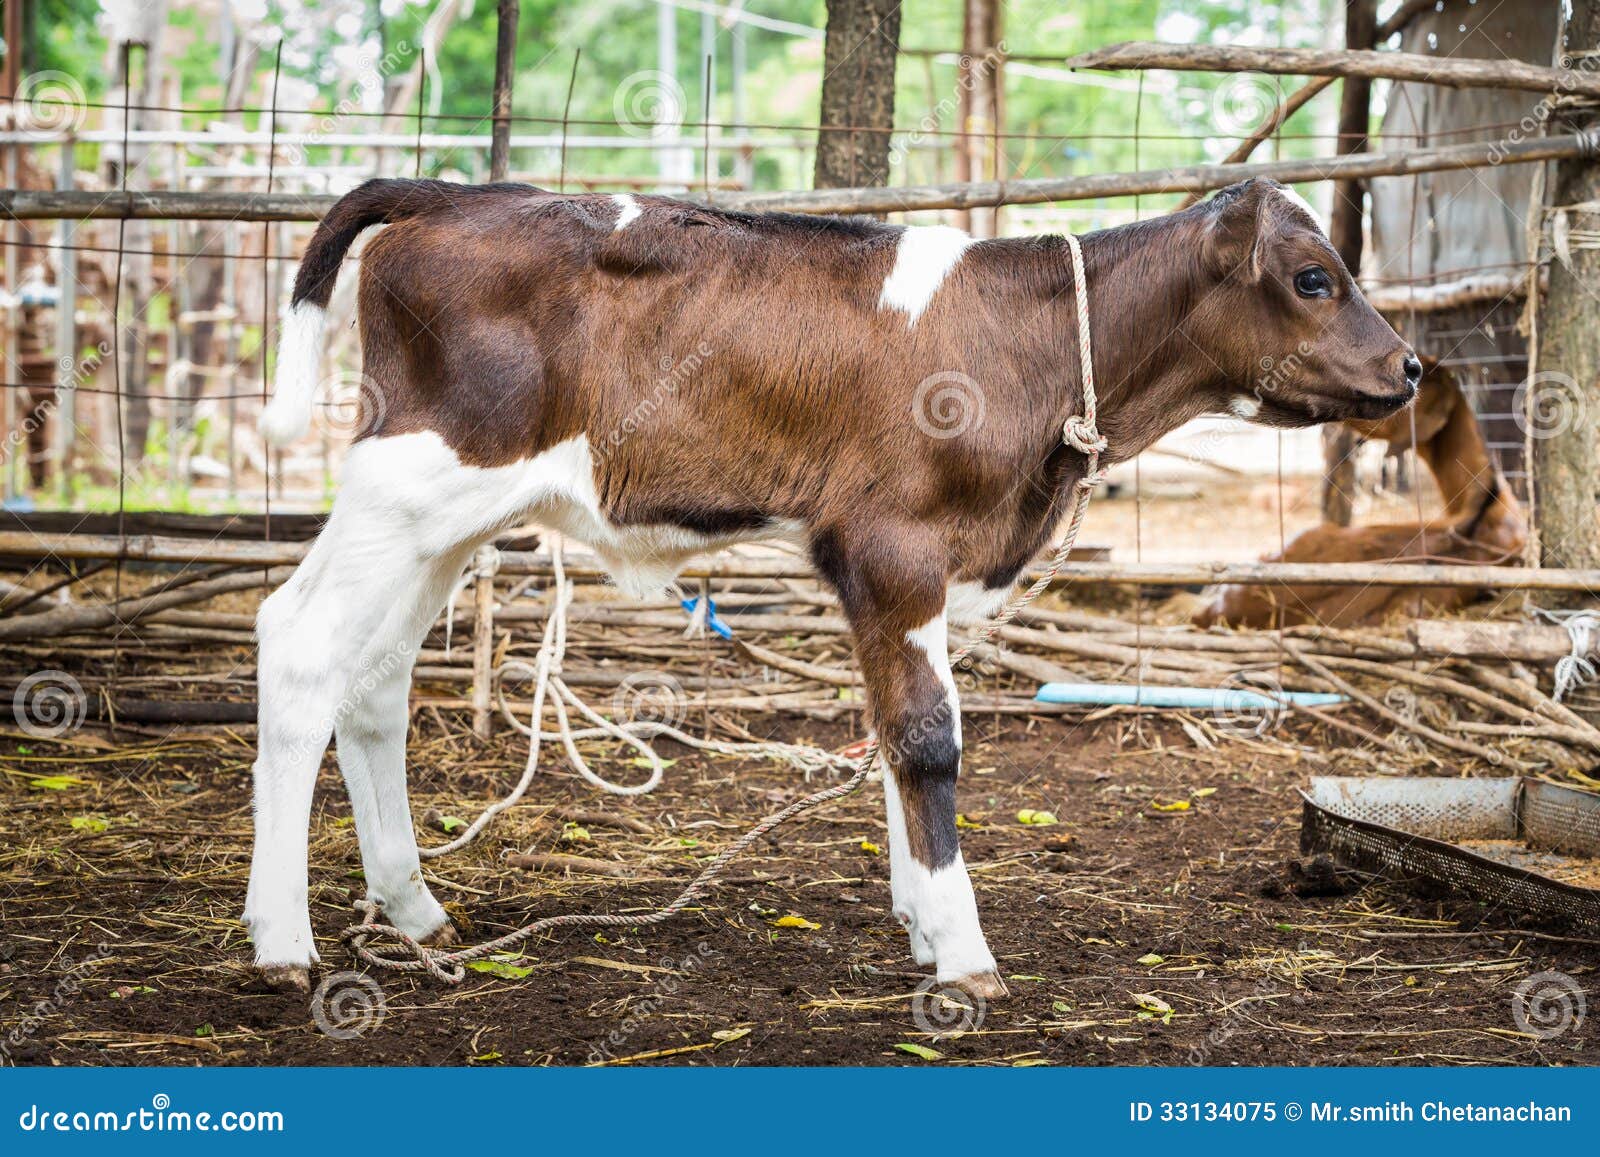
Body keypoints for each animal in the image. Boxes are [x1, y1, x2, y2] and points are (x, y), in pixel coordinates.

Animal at [245, 176, 1419, 996]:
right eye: (1314, 277)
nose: (1408, 367)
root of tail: (452, 193)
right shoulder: (891, 543)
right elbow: (929, 737)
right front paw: (963, 949)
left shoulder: (906, 569)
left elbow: (892, 732)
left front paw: (919, 921)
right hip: (409, 482)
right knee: (298, 645)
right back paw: (283, 941)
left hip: (444, 522)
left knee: (376, 681)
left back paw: (415, 909)